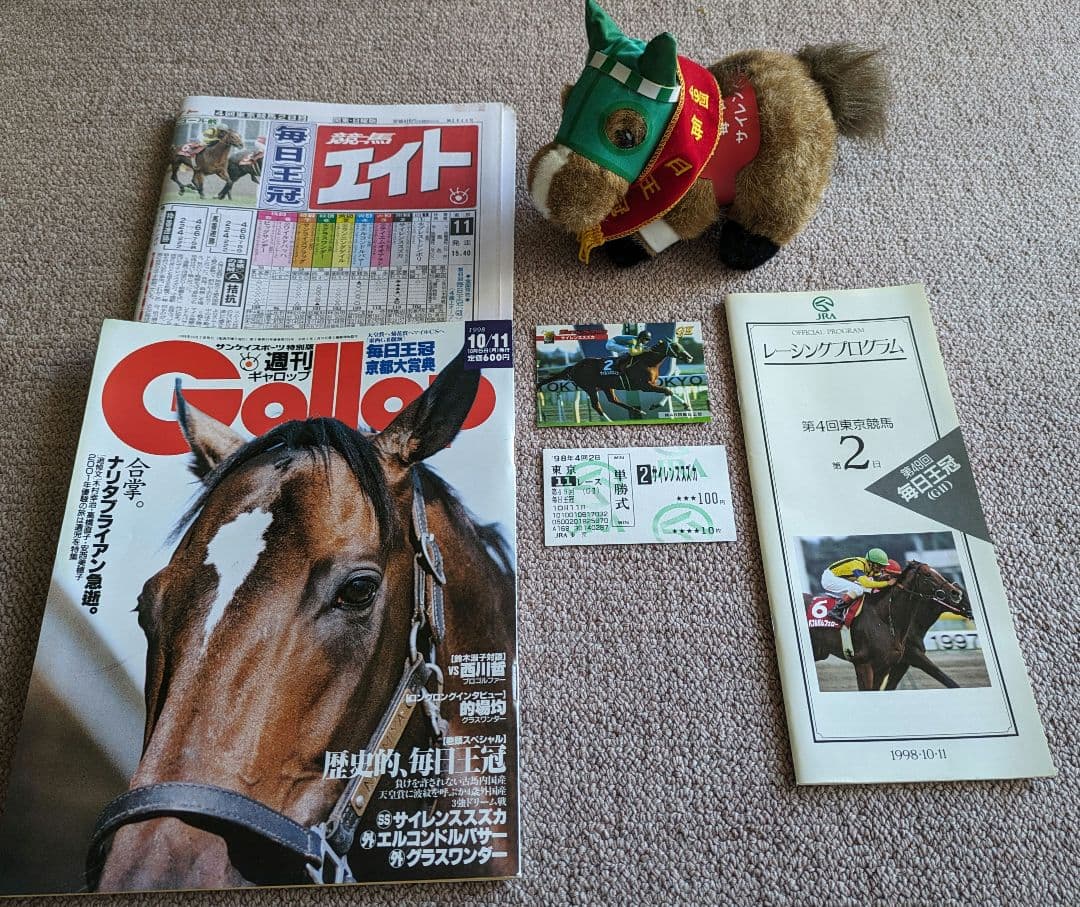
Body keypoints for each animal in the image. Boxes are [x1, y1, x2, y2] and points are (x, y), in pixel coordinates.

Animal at [536, 337, 694, 421]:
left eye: (680, 345)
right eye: (675, 346)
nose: (689, 357)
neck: (647, 361)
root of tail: (574, 367)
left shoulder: (653, 382)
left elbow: (669, 391)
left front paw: (684, 405)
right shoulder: (644, 385)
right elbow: (667, 390)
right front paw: (658, 405)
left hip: (606, 386)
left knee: (613, 400)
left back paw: (637, 411)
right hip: (590, 387)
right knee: (596, 405)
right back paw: (609, 420)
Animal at [807, 561, 973, 691]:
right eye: (927, 574)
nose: (955, 593)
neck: (885, 619)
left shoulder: (893, 663)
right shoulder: (866, 663)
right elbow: (946, 679)